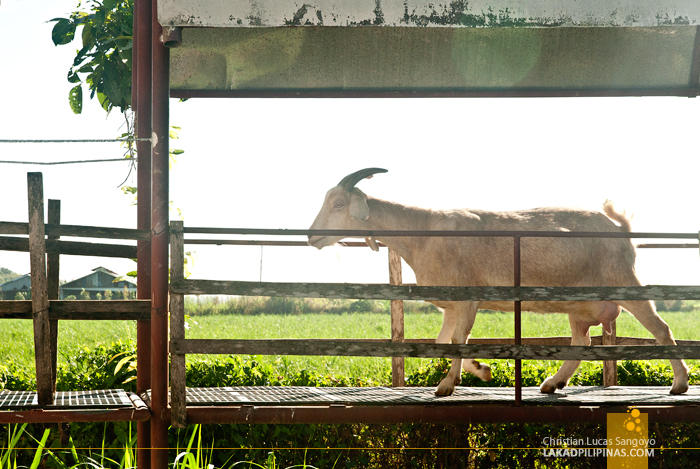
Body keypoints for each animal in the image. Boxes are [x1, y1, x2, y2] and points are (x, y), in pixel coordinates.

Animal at [308, 168, 689, 396]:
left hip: (623, 281)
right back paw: (553, 382)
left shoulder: (468, 297)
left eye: (338, 204)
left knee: (661, 328)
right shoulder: (452, 305)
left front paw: (448, 384)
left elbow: (457, 341)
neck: (423, 233)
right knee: (581, 342)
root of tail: (620, 226)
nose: (311, 236)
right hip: (579, 304)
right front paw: (481, 369)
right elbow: (445, 341)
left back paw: (680, 383)